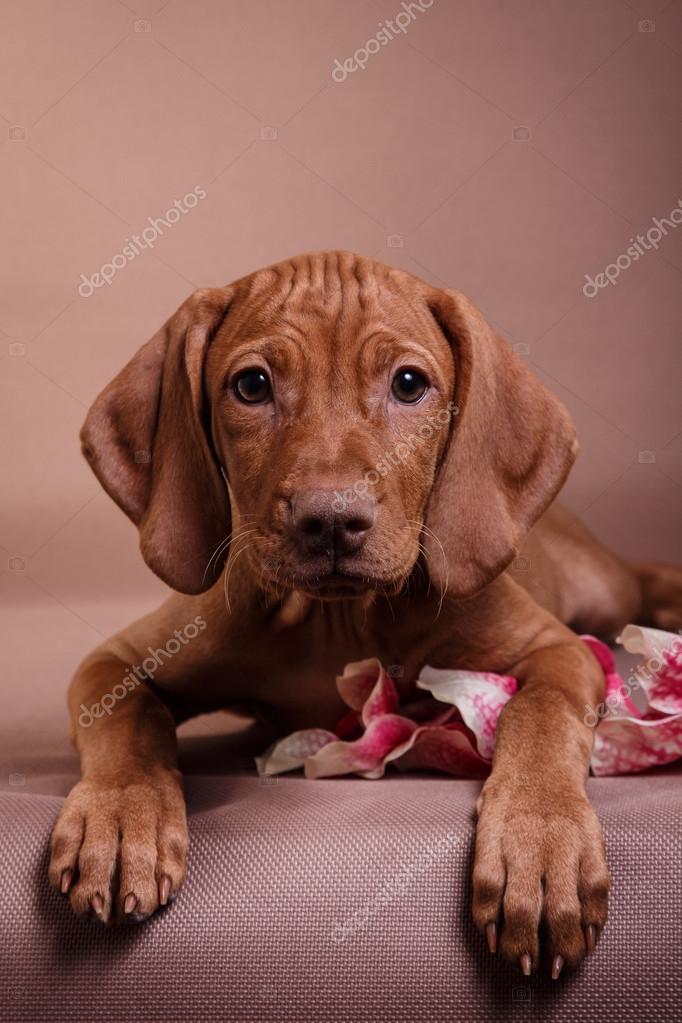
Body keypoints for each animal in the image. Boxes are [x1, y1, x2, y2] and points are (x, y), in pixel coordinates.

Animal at [49, 250, 682, 977]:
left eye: (409, 384)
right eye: (252, 385)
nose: (330, 519)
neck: (339, 620)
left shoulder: (557, 650)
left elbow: (541, 714)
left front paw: (541, 843)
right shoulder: (117, 661)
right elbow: (126, 715)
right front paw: (120, 817)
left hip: (603, 590)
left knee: (641, 575)